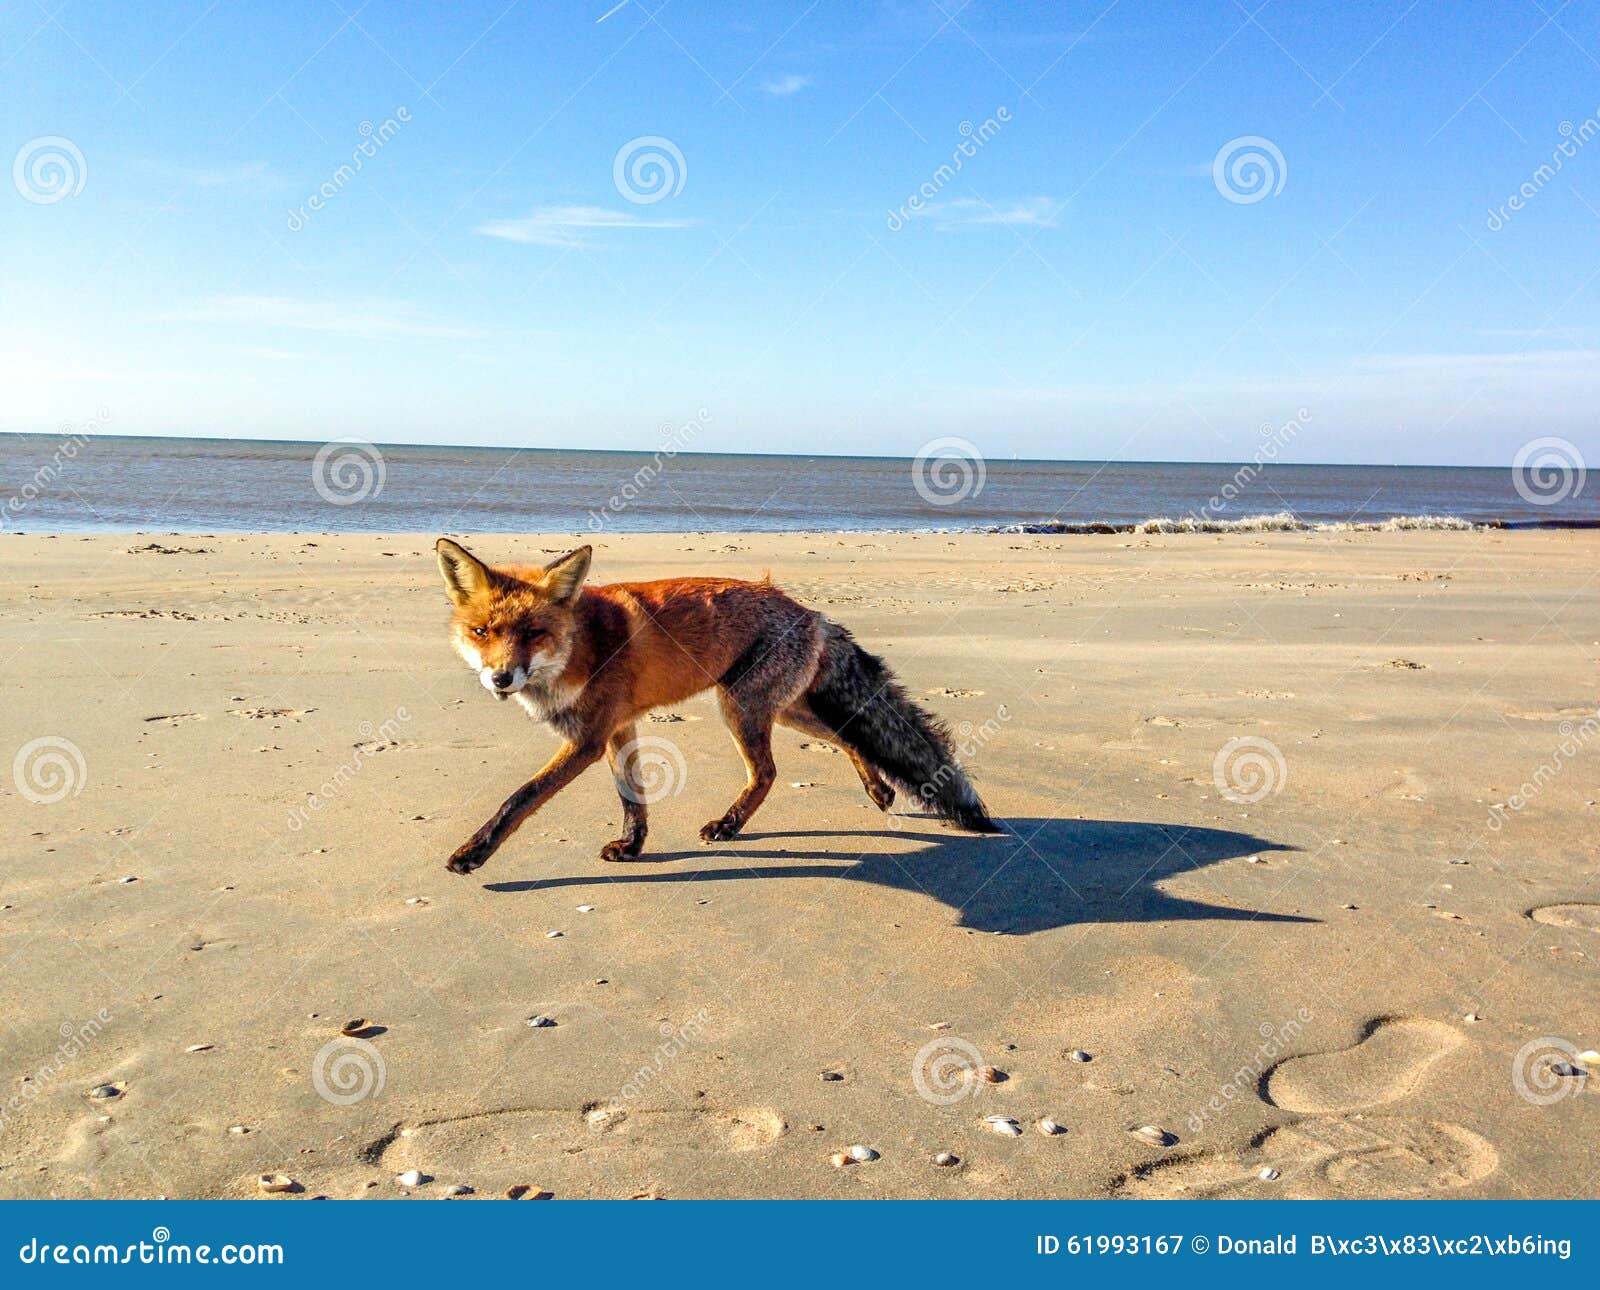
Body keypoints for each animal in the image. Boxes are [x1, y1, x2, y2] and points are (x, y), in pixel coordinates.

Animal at [434, 538, 1002, 874]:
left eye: (535, 633)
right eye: (482, 632)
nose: (500, 677)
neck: (581, 647)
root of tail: (811, 613)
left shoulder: (588, 739)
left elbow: (520, 798)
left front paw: (474, 852)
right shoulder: (619, 729)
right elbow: (632, 799)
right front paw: (633, 846)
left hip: (741, 707)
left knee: (768, 772)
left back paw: (730, 825)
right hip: (782, 708)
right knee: (846, 736)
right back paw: (877, 789)